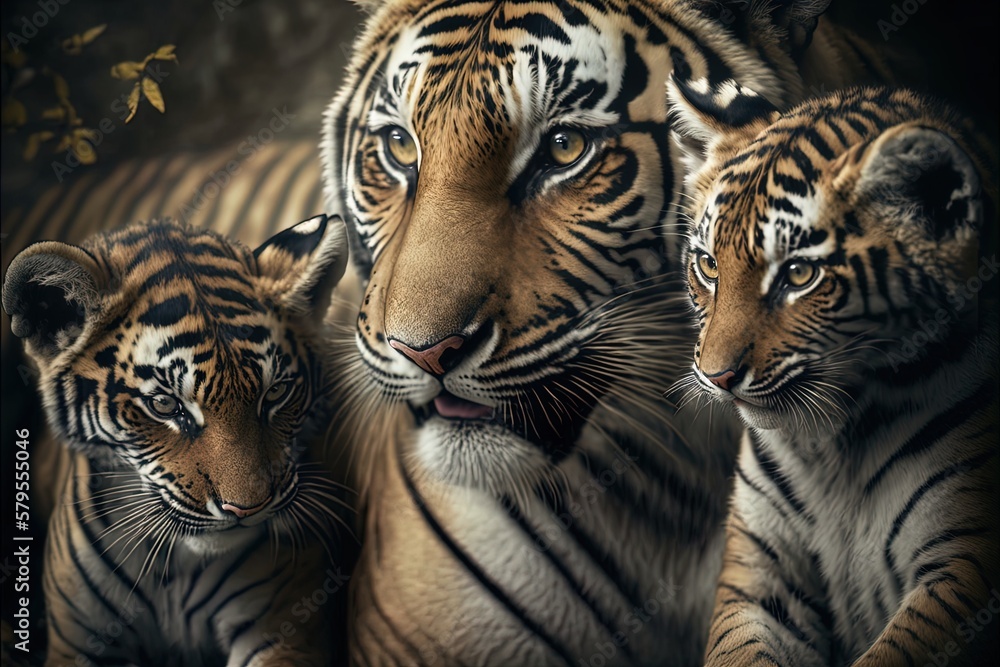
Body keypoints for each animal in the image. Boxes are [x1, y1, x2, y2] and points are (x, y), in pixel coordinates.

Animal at [2, 215, 353, 666]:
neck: (176, 566)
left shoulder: (279, 629)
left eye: (274, 393)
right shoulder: (79, 644)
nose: (247, 509)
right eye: (165, 404)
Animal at [668, 80, 999, 666]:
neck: (836, 446)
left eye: (799, 275)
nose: (717, 376)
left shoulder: (963, 560)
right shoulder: (758, 571)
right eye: (708, 265)